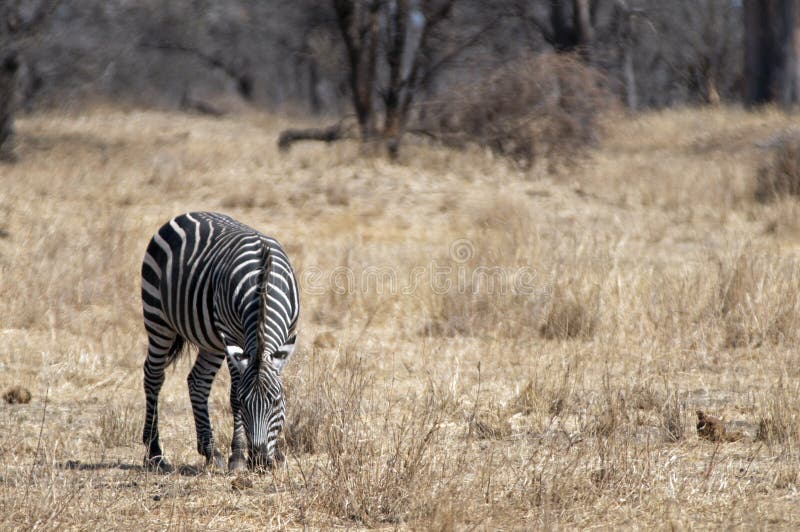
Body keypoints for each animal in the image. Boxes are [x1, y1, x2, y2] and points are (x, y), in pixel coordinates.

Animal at [140, 212, 299, 472]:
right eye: (244, 404)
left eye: (277, 402)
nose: (259, 460)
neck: (263, 282)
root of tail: (185, 214)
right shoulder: (232, 335)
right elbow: (233, 393)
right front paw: (238, 456)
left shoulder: (287, 333)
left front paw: (275, 455)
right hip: (157, 317)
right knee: (153, 375)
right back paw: (154, 453)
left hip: (211, 339)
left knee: (198, 381)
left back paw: (210, 451)